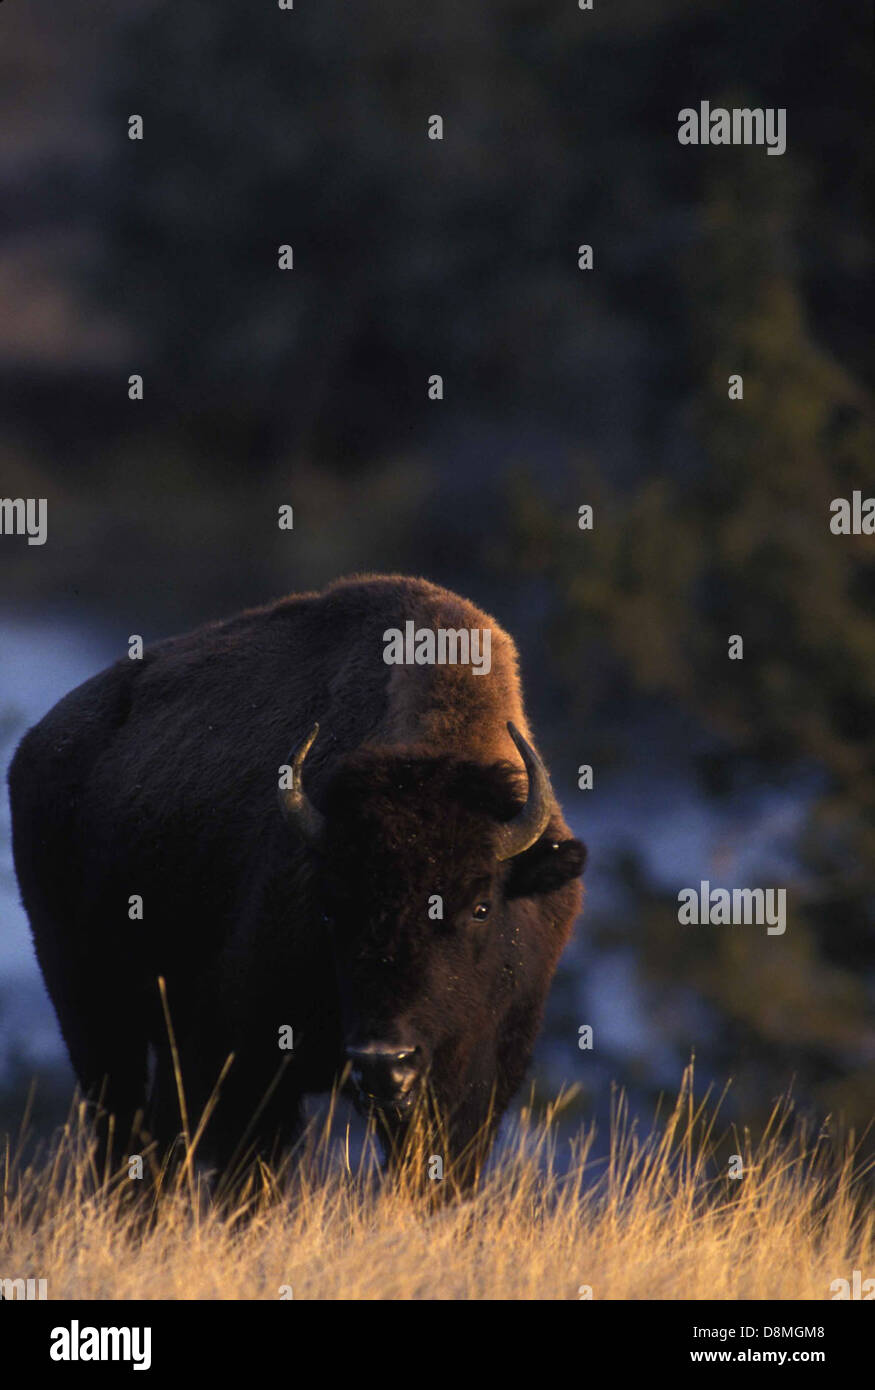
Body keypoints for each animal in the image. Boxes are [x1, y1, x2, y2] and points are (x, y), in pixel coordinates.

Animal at [9, 575, 585, 1186]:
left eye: (480, 906)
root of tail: (35, 746)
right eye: (330, 907)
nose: (386, 1063)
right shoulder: (254, 1071)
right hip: (91, 1012)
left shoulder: (475, 1086)